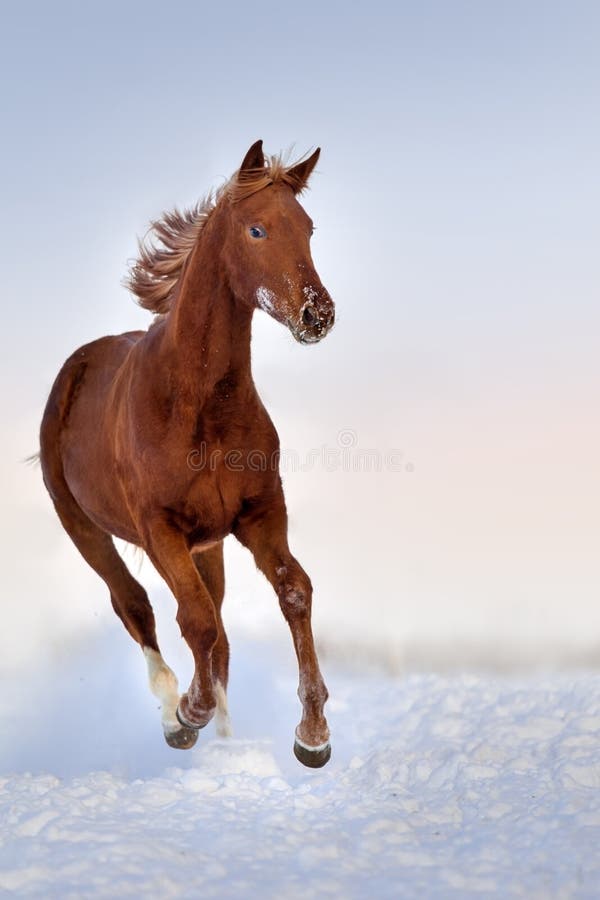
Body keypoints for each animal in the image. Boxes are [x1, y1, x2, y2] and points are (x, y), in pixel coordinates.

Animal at [39, 140, 335, 768]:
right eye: (256, 229)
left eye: (308, 227)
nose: (317, 314)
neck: (198, 404)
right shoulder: (161, 530)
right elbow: (194, 621)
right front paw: (187, 715)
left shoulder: (258, 515)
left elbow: (292, 593)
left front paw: (313, 735)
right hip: (85, 528)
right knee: (135, 606)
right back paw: (174, 710)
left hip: (210, 544)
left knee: (216, 626)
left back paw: (222, 733)